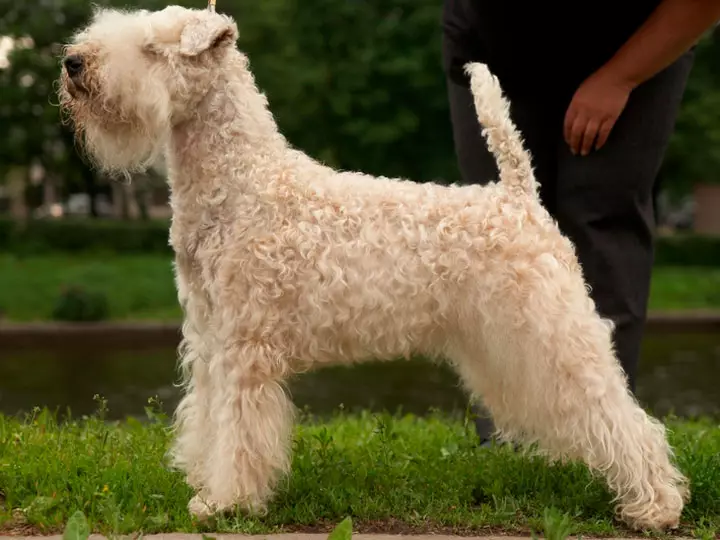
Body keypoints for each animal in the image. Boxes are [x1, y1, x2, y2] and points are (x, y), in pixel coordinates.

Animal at [59, 3, 688, 528]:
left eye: (151, 47)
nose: (72, 62)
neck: (241, 183)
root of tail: (518, 196)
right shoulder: (210, 339)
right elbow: (209, 418)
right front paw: (204, 482)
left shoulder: (244, 349)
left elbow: (238, 431)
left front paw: (227, 503)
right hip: (504, 343)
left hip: (552, 332)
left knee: (620, 412)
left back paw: (655, 506)